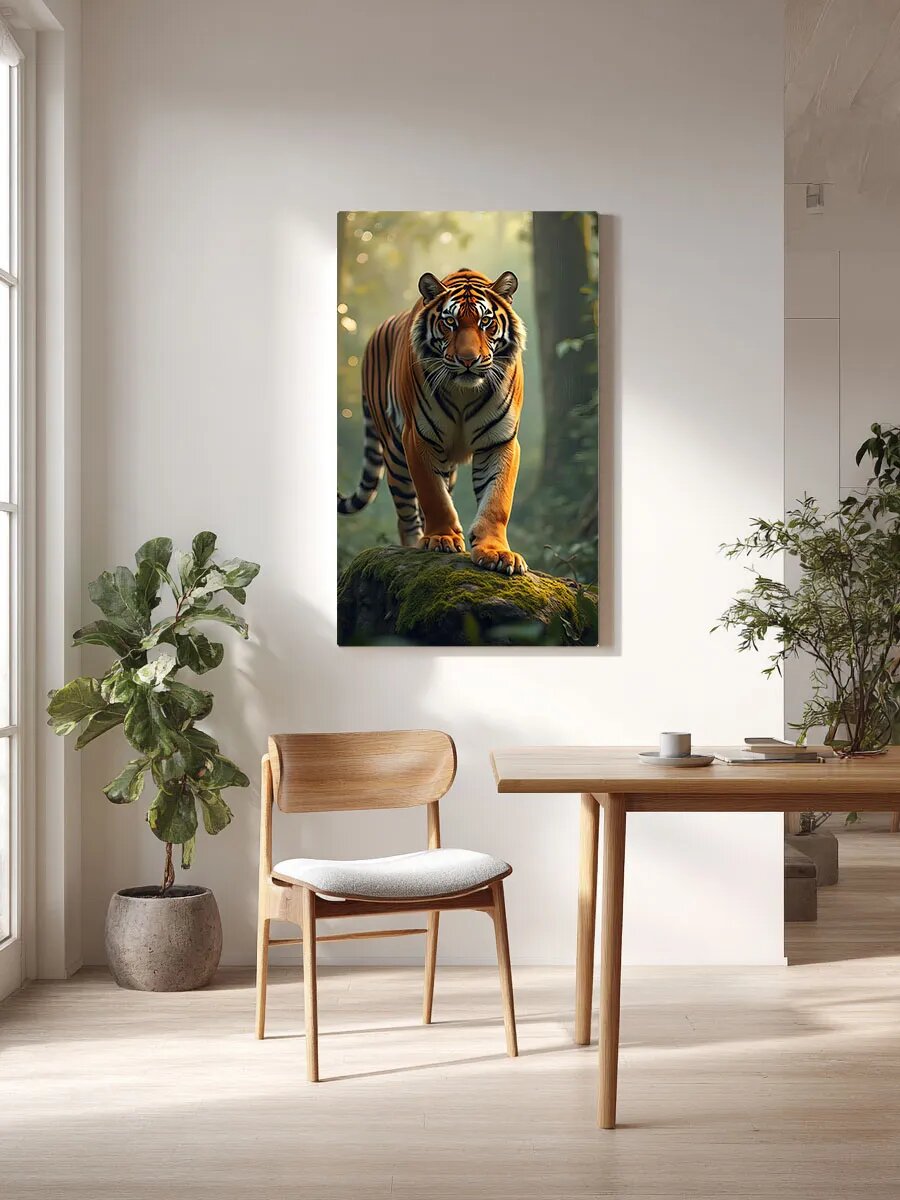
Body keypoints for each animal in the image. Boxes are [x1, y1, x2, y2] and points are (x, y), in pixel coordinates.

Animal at [338, 267, 528, 575]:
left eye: (486, 322)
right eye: (449, 322)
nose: (468, 360)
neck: (464, 391)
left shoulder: (500, 441)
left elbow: (496, 500)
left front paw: (497, 553)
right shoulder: (418, 437)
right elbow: (433, 495)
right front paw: (442, 538)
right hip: (396, 455)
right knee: (407, 513)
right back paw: (415, 544)